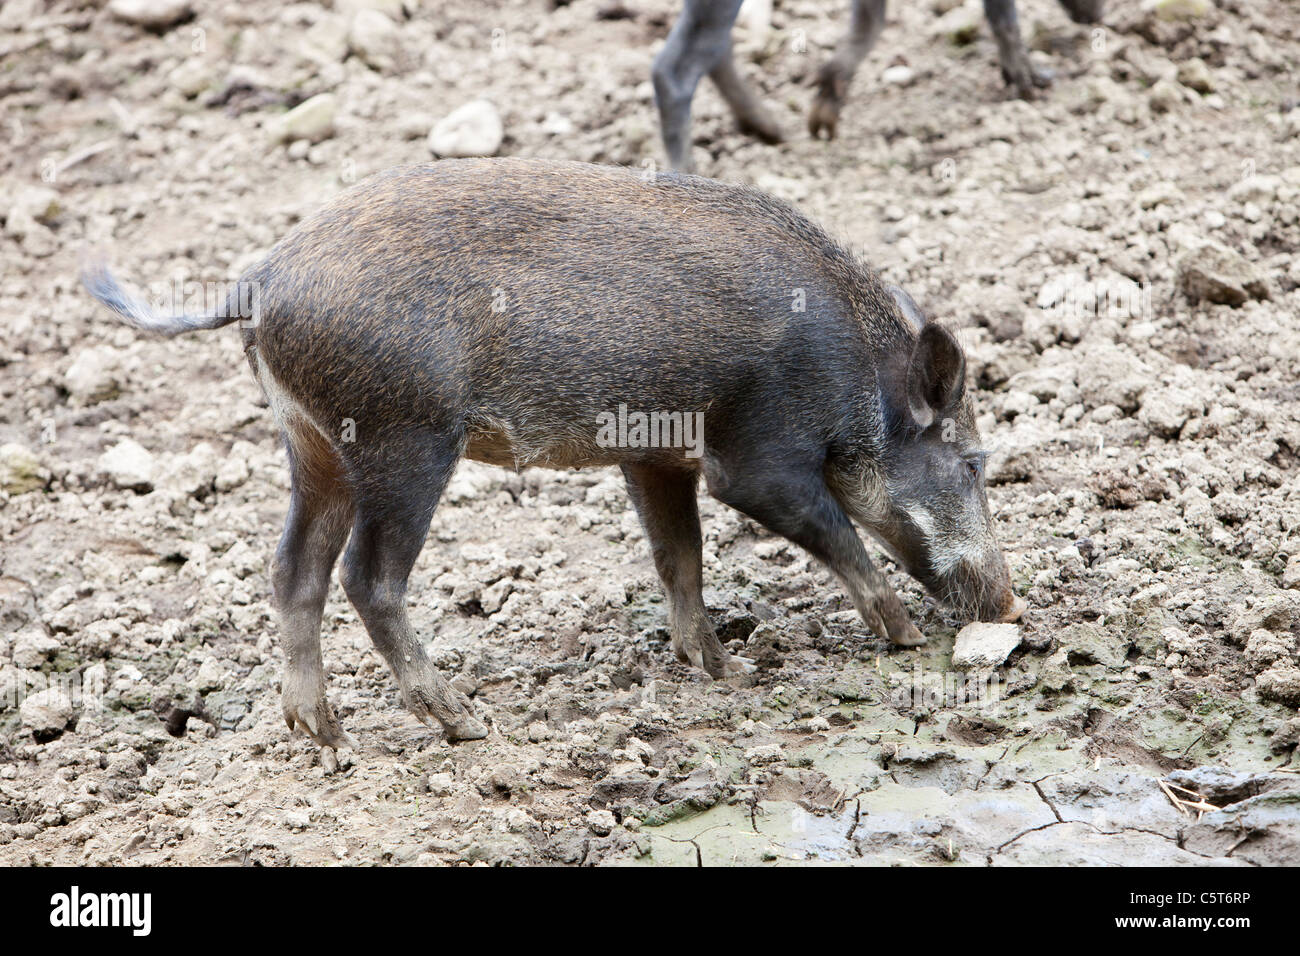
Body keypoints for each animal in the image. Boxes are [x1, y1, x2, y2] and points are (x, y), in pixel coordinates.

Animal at [82, 158, 1024, 749]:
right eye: (974, 464)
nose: (1011, 606)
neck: (855, 379)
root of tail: (264, 278)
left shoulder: (654, 459)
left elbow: (679, 555)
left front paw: (721, 667)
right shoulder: (753, 456)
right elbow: (830, 531)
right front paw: (901, 635)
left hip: (314, 448)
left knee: (293, 571)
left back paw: (324, 734)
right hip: (403, 438)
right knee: (365, 578)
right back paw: (463, 722)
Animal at [653, 0, 1106, 170]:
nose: (1096, 16)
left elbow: (869, 21)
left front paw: (822, 122)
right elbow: (1003, 15)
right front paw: (1033, 86)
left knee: (714, 49)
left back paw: (773, 131)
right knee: (672, 69)